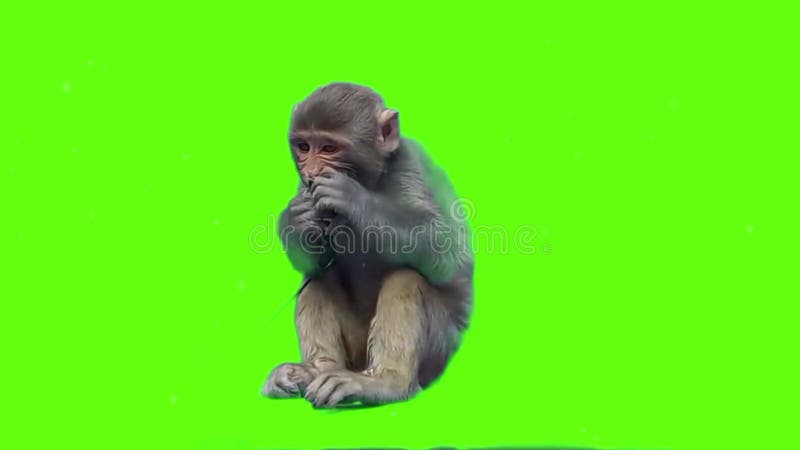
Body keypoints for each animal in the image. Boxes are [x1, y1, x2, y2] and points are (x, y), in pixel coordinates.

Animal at [262, 82, 473, 407]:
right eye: (303, 147)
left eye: (329, 148)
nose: (311, 173)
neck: (371, 178)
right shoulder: (304, 188)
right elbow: (313, 259)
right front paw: (295, 219)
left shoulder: (413, 165)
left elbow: (447, 249)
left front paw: (351, 198)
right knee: (319, 276)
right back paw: (316, 369)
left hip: (441, 346)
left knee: (406, 279)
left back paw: (386, 383)